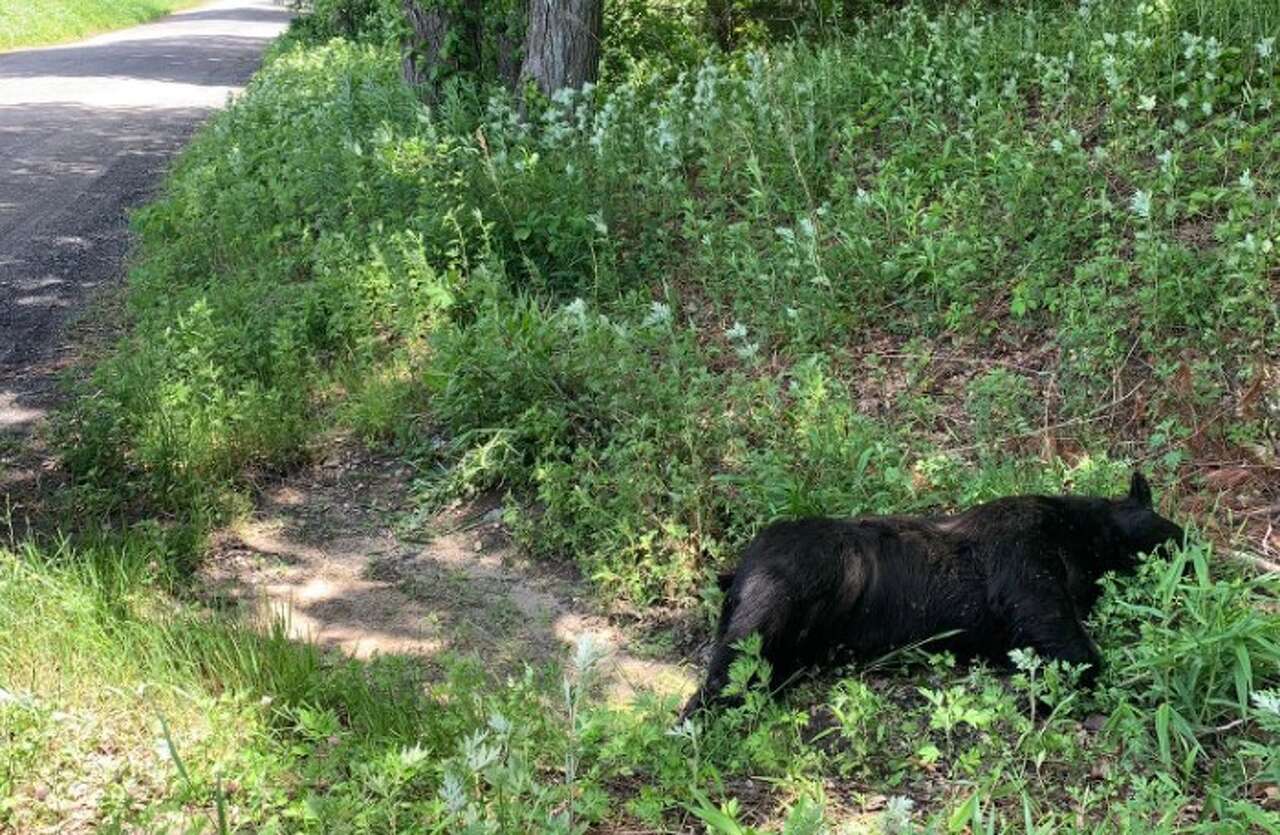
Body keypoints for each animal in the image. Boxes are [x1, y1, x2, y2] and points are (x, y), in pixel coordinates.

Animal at [680, 471, 1184, 720]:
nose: (1186, 543)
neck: (1083, 538)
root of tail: (736, 570)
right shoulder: (1025, 568)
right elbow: (1074, 649)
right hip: (784, 593)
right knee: (726, 671)